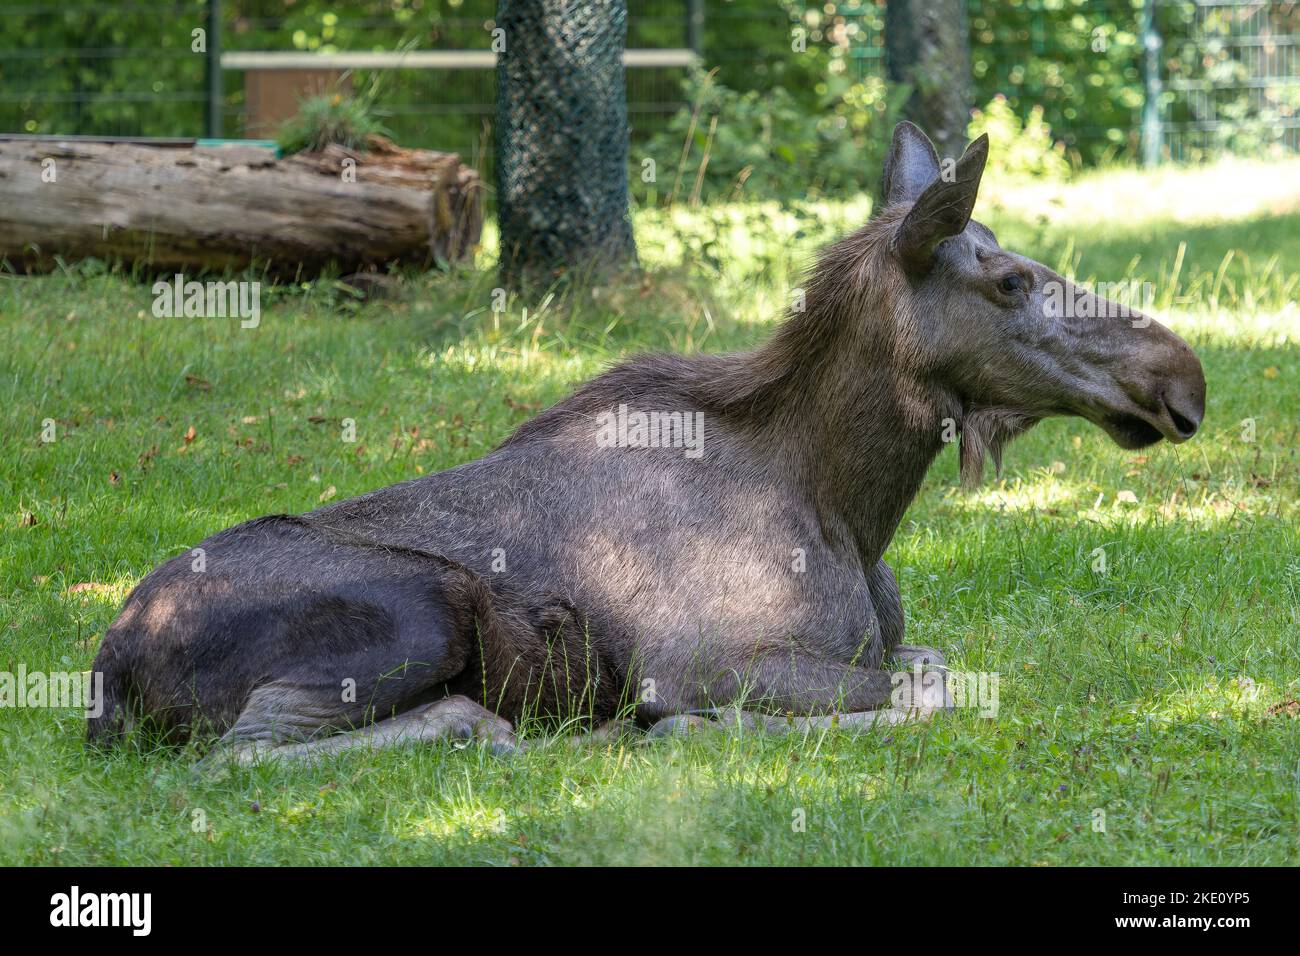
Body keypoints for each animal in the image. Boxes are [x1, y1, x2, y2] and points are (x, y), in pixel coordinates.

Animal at [88, 123, 1205, 762]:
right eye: (1011, 278)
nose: (1180, 377)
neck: (852, 506)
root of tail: (108, 668)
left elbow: (932, 661)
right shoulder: (703, 658)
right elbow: (917, 690)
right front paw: (693, 728)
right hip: (420, 606)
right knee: (243, 750)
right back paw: (477, 726)